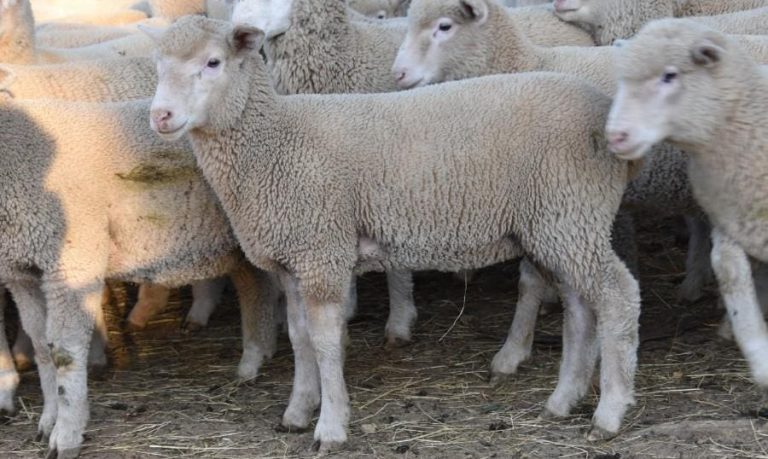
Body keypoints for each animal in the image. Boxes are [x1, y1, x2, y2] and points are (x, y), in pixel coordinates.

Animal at [0, 95, 282, 457]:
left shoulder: (73, 262)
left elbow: (64, 352)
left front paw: (66, 434)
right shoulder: (24, 273)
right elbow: (40, 345)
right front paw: (49, 420)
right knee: (256, 285)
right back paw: (256, 355)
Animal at [148, 15, 642, 449]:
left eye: (213, 62)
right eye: (157, 66)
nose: (161, 116)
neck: (273, 142)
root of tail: (600, 110)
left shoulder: (322, 250)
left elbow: (325, 341)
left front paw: (331, 426)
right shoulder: (293, 260)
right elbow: (298, 336)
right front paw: (297, 410)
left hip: (570, 213)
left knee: (618, 296)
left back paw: (609, 412)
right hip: (558, 224)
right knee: (581, 308)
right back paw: (563, 399)